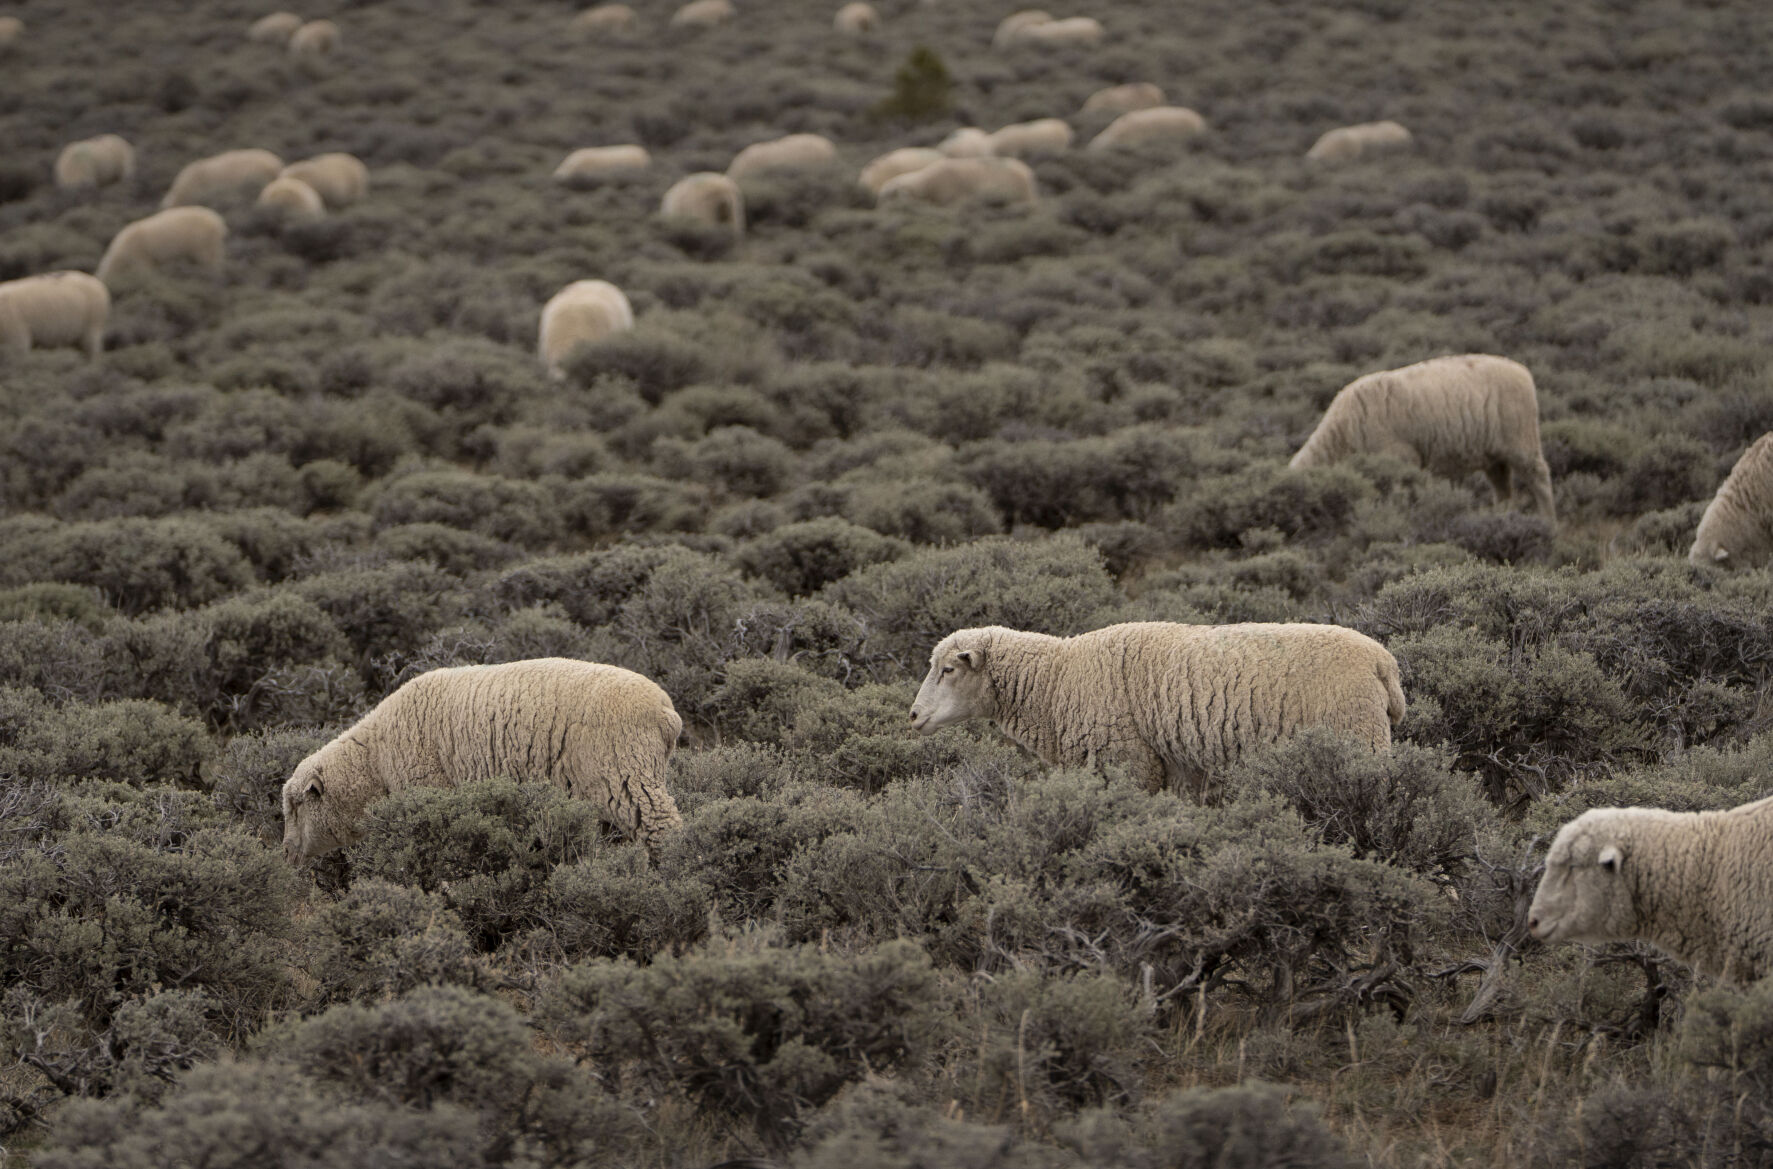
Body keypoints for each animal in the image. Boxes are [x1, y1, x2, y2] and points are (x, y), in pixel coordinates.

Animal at [96, 206, 229, 285]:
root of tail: (218, 222)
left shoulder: (141, 256)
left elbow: (147, 272)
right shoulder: (152, 259)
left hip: (202, 243)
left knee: (211, 262)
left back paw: (212, 278)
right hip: (213, 244)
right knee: (218, 259)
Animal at [280, 659, 684, 866]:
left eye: (296, 807)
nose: (285, 851)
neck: (374, 760)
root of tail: (667, 712)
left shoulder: (429, 791)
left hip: (627, 774)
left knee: (664, 829)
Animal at [910, 622, 1405, 796]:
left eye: (949, 669)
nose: (912, 716)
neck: (1058, 679)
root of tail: (1382, 661)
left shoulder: (1130, 762)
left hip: (1359, 742)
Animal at [1290, 353, 1556, 519]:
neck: (1342, 433)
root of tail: (1522, 370)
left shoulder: (1400, 457)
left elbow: (1399, 496)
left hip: (1521, 439)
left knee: (1540, 477)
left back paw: (1547, 523)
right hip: (1494, 455)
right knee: (1503, 491)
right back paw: (1502, 519)